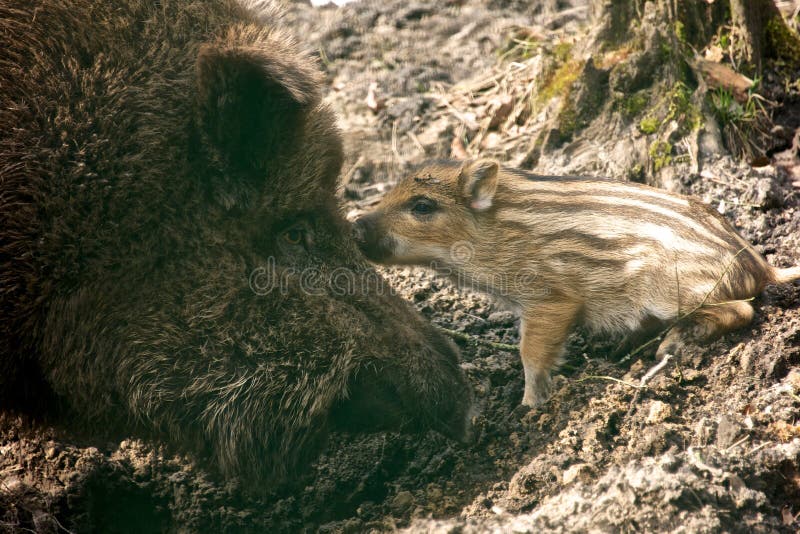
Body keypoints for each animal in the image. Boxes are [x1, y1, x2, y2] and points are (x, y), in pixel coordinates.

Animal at [354, 158, 800, 407]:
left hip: (670, 291)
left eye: (422, 206)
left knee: (740, 310)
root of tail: (761, 266)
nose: (355, 226)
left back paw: (670, 346)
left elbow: (532, 353)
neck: (494, 235)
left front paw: (528, 407)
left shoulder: (550, 299)